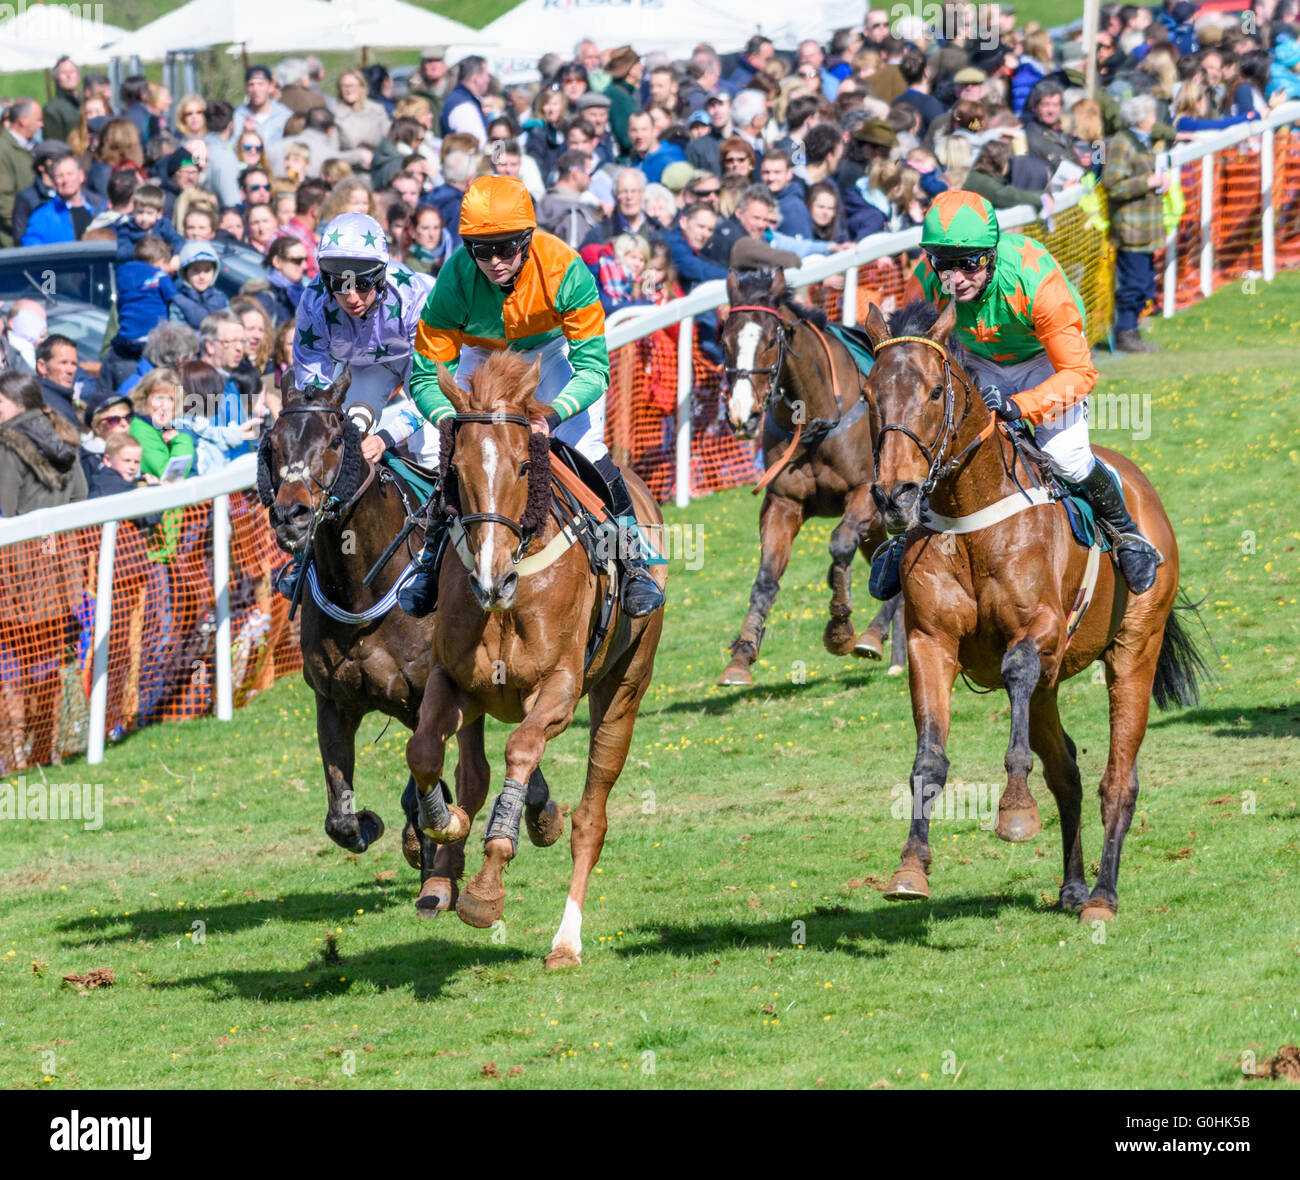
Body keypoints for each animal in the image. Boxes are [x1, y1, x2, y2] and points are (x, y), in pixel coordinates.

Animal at [257, 368, 555, 917]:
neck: (361, 587)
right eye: (273, 443)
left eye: (336, 439)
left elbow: (428, 785)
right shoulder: (332, 702)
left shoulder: (426, 699)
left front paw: (431, 861)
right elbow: (340, 817)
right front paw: (372, 825)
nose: (292, 515)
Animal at [405, 351, 666, 968]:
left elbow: (522, 749)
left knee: (590, 820)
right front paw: (444, 823)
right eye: (457, 472)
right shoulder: (452, 680)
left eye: (526, 466)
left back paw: (565, 942)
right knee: (471, 771)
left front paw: (485, 889)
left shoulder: (560, 689)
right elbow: (424, 750)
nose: (490, 579)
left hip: (625, 688)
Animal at [718, 267, 904, 687]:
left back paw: (874, 634)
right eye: (724, 340)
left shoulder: (865, 494)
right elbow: (766, 578)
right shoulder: (784, 503)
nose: (741, 414)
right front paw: (742, 653)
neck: (816, 416)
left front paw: (840, 627)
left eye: (771, 340)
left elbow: (840, 544)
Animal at [862, 299, 1207, 922]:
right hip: (1055, 679)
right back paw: (1073, 888)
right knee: (1067, 771)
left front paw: (1016, 811)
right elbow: (929, 759)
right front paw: (910, 868)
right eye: (869, 394)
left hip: (1133, 651)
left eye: (933, 392)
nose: (894, 496)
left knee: (1118, 780)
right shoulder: (930, 641)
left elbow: (1015, 667)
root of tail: (1142, 487)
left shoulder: (1038, 628)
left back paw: (1102, 897)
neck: (969, 518)